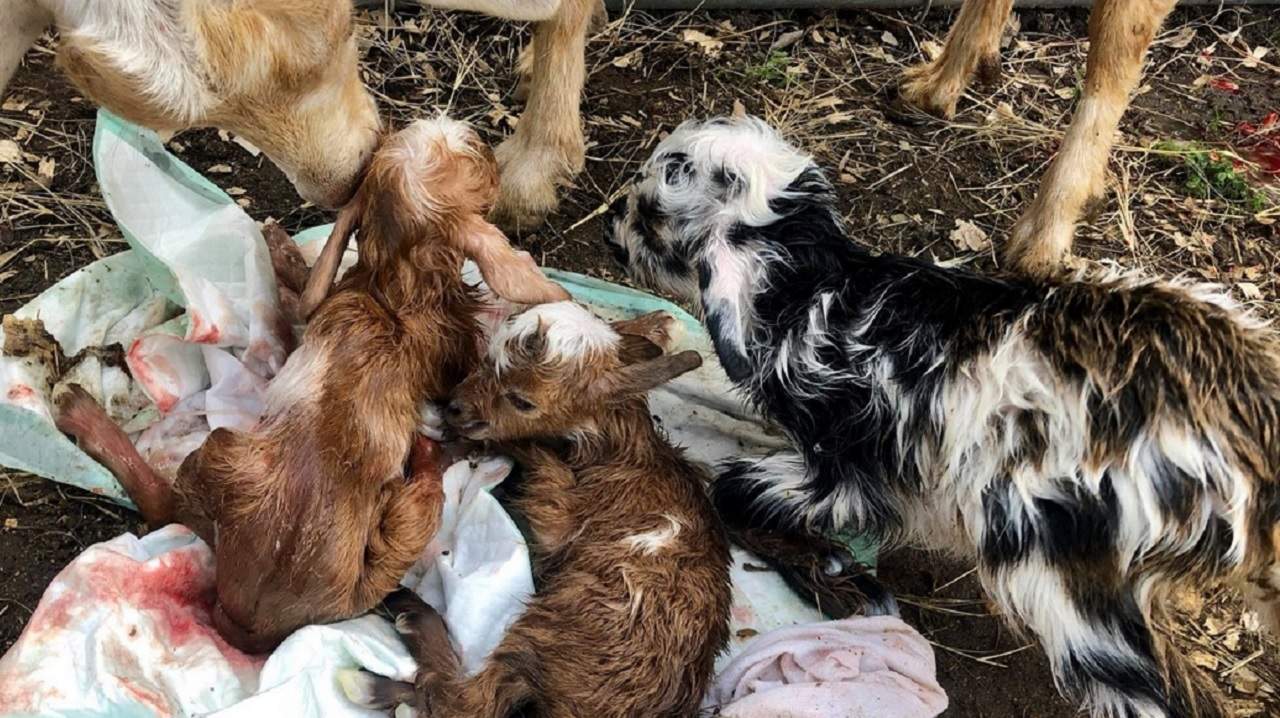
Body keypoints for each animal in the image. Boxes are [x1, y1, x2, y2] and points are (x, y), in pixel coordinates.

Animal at [53, 117, 543, 654]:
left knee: (165, 508)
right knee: (163, 508)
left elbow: (307, 288)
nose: (478, 136)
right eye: (475, 153)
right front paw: (280, 249)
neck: (397, 294)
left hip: (235, 457)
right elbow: (313, 280)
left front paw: (278, 250)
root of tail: (257, 625)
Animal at [341, 302, 733, 718]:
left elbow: (527, 454)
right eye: (485, 358)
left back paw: (402, 624)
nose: (453, 407)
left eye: (522, 400)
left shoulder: (562, 512)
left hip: (563, 623)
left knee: (469, 702)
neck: (618, 445)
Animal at [604, 115, 1280, 718]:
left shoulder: (846, 473)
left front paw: (833, 575)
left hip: (1064, 572)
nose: (611, 227)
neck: (815, 291)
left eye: (650, 212)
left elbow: (737, 490)